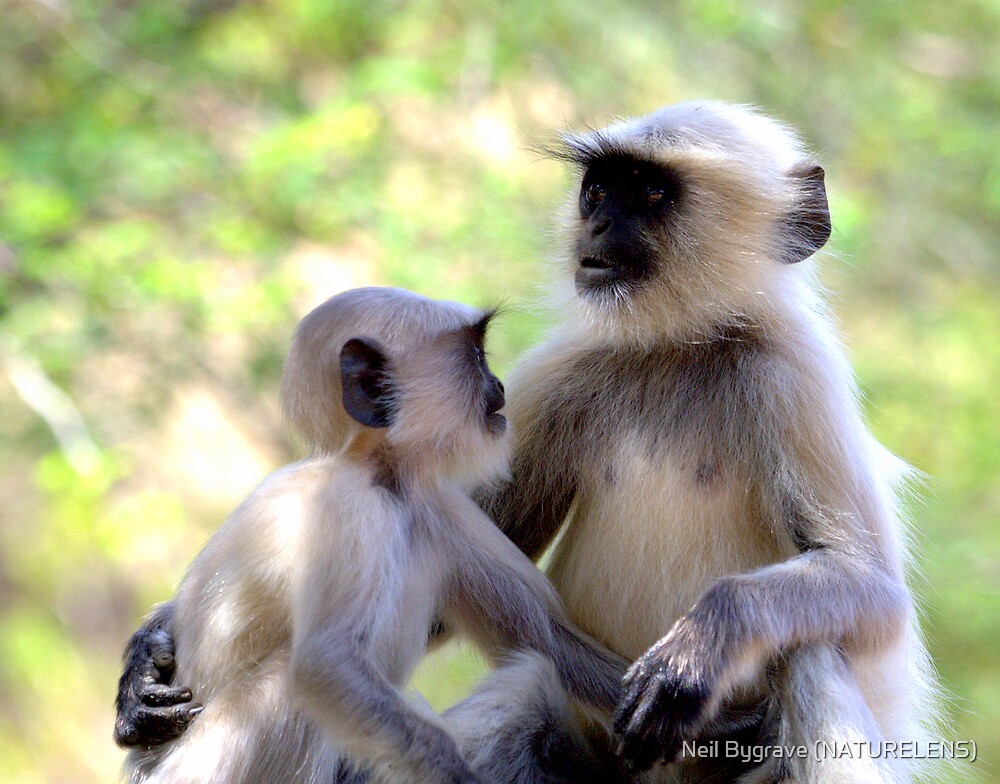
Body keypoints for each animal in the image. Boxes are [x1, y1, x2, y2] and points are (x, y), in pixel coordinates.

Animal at [120, 286, 629, 784]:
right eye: (476, 355)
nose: (499, 385)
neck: (380, 479)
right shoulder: (346, 510)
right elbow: (328, 666)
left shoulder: (434, 506)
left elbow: (544, 637)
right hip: (200, 768)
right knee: (289, 686)